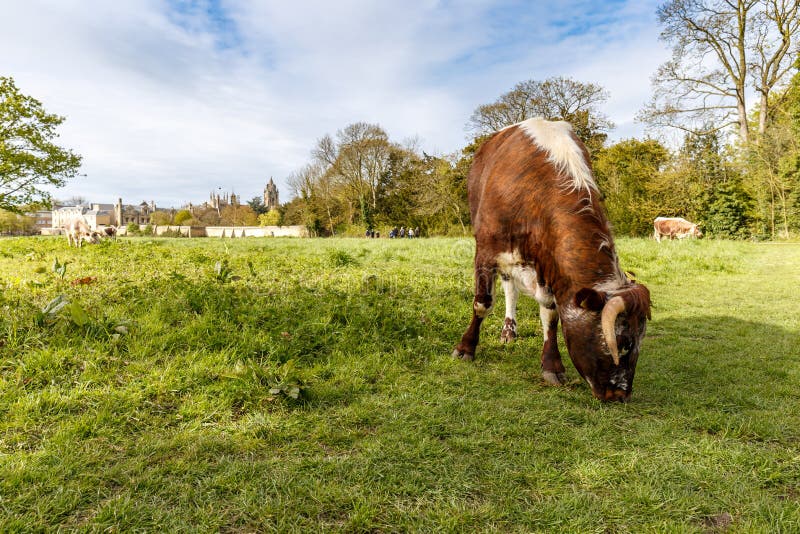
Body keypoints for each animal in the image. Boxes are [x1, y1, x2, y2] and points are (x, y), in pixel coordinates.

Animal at [452, 118, 651, 402]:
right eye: (623, 344)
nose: (620, 395)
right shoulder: (486, 251)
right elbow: (482, 304)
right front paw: (466, 347)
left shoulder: (548, 267)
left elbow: (551, 313)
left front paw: (552, 365)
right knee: (508, 289)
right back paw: (507, 331)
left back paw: (510, 330)